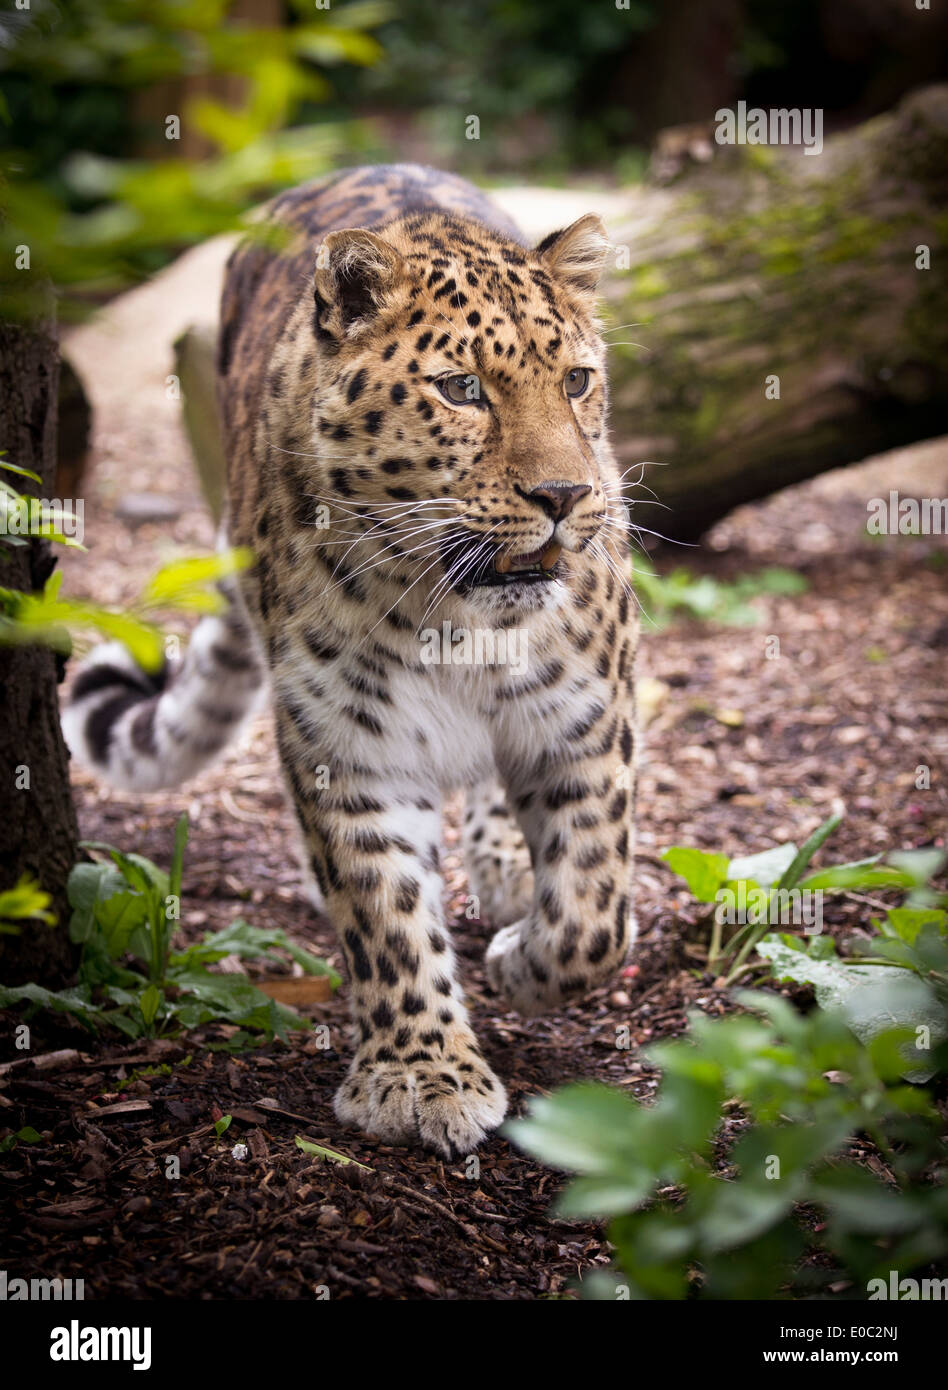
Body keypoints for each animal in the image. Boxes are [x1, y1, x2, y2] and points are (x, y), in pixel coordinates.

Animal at [63, 163, 638, 1158]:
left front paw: (523, 963)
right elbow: (385, 911)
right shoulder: (351, 746)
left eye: (576, 381)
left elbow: (593, 913)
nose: (568, 495)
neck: (461, 624)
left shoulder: (587, 719)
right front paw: (421, 1075)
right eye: (462, 388)